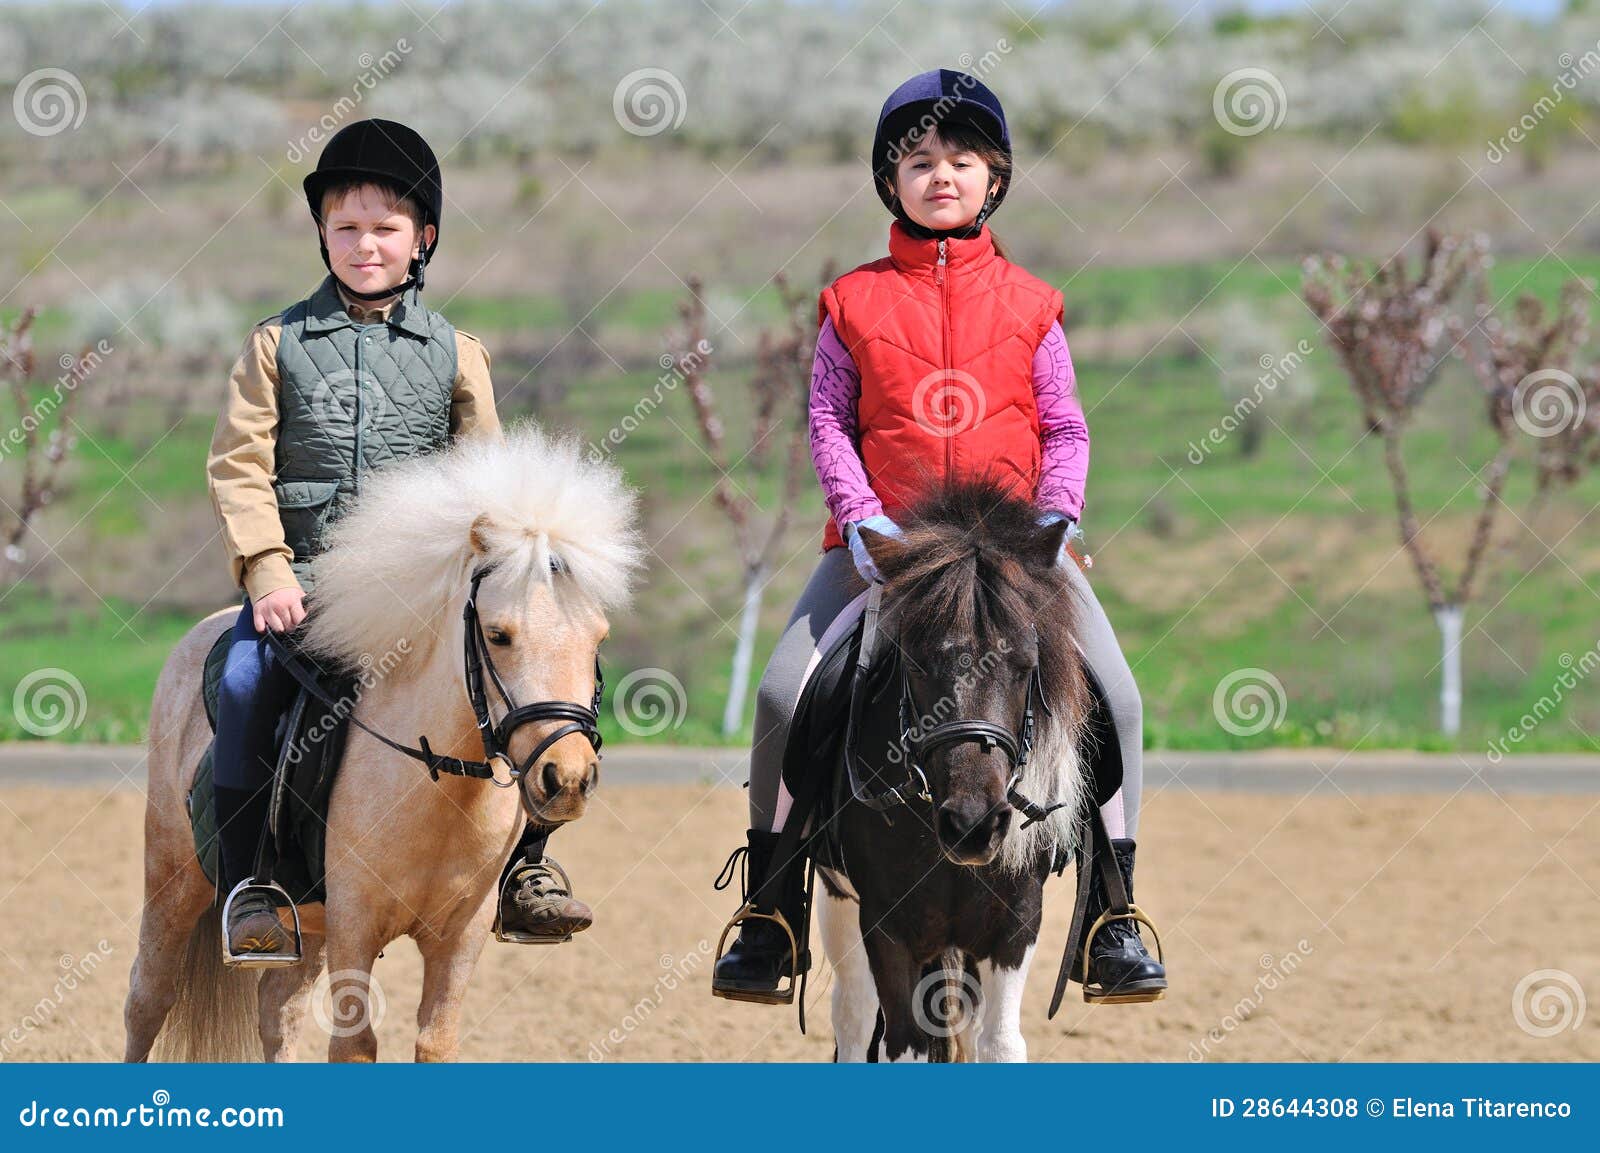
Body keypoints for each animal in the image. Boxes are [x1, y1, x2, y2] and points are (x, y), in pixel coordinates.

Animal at [123, 423, 642, 1062]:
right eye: (498, 635)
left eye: (599, 637)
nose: (566, 777)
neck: (436, 780)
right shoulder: (356, 925)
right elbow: (356, 1045)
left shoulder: (460, 936)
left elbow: (435, 1040)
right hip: (173, 882)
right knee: (148, 998)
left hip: (306, 922)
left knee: (278, 1013)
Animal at [816, 481, 1090, 1062]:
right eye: (916, 664)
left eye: (1026, 666)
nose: (972, 825)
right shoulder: (888, 929)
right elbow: (902, 1044)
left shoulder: (1014, 925)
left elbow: (1002, 1043)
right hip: (839, 902)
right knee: (852, 1015)